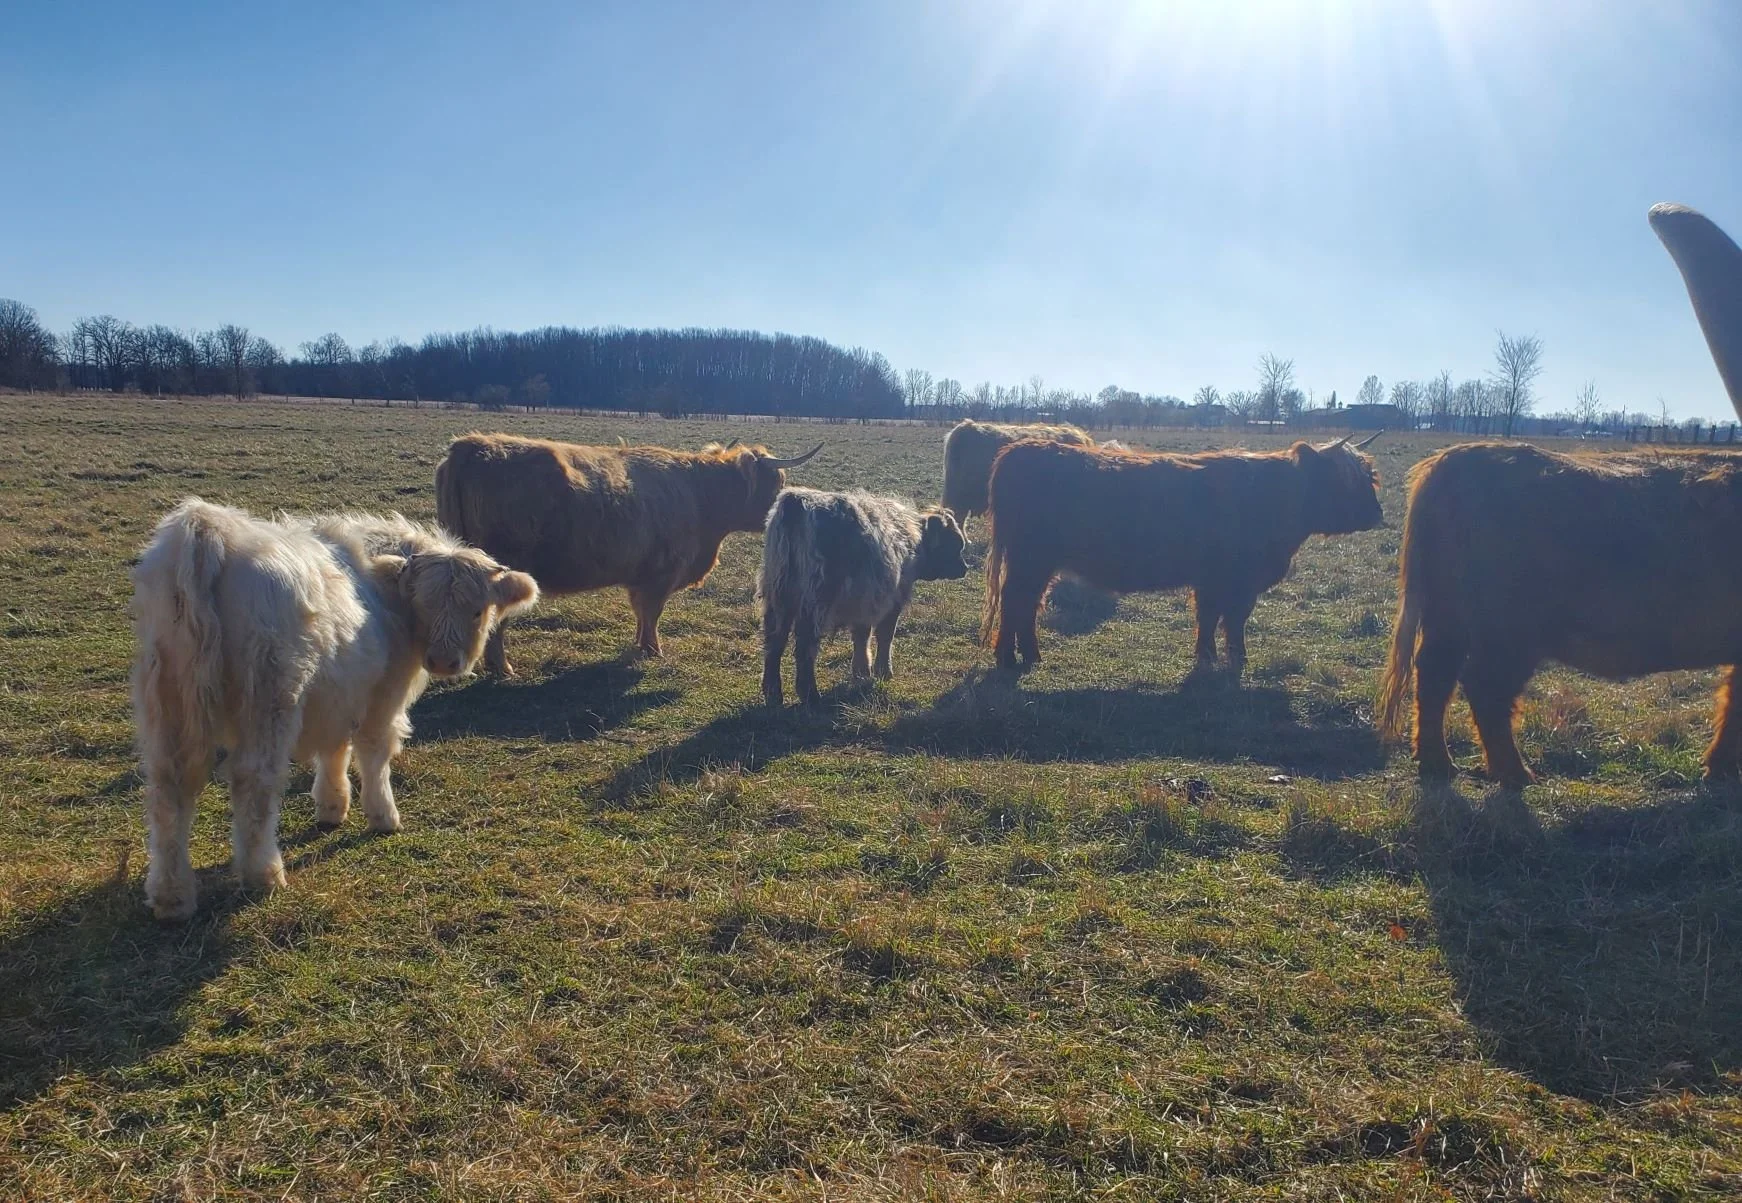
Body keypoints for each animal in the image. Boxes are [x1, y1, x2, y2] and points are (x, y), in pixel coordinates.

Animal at [130, 498, 538, 920]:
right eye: (423, 604)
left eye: (476, 610)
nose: (443, 661)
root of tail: (209, 526)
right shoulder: (383, 696)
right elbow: (374, 754)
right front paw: (383, 816)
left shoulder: (339, 693)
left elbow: (334, 748)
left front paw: (331, 805)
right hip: (269, 700)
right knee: (253, 780)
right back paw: (264, 874)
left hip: (166, 699)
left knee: (168, 788)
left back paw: (171, 894)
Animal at [435, 434, 822, 672]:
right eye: (777, 482)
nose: (785, 509)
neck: (700, 496)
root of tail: (468, 447)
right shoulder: (661, 574)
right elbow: (652, 613)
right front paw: (653, 651)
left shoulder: (643, 576)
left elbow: (641, 614)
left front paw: (640, 647)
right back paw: (503, 668)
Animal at [759, 489, 967, 707]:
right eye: (955, 544)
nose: (965, 568)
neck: (911, 539)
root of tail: (796, 500)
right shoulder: (893, 600)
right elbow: (885, 635)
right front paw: (883, 671)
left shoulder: (864, 600)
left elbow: (862, 636)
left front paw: (862, 672)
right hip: (814, 604)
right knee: (805, 647)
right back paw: (811, 695)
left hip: (777, 600)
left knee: (774, 644)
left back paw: (773, 694)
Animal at [982, 435, 1383, 672]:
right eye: (1346, 480)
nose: (1378, 514)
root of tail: (1020, 448)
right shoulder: (1237, 581)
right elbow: (1232, 620)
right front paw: (1235, 660)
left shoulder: (1213, 580)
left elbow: (1209, 618)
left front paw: (1207, 657)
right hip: (1030, 559)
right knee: (1015, 601)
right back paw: (1008, 658)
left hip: (1036, 562)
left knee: (1026, 604)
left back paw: (1029, 655)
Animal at [1378, 202, 1742, 789]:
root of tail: (1451, 461)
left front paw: (1718, 769)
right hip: (1508, 624)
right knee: (1482, 684)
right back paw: (1515, 774)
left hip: (1450, 611)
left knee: (1435, 675)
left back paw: (1438, 763)